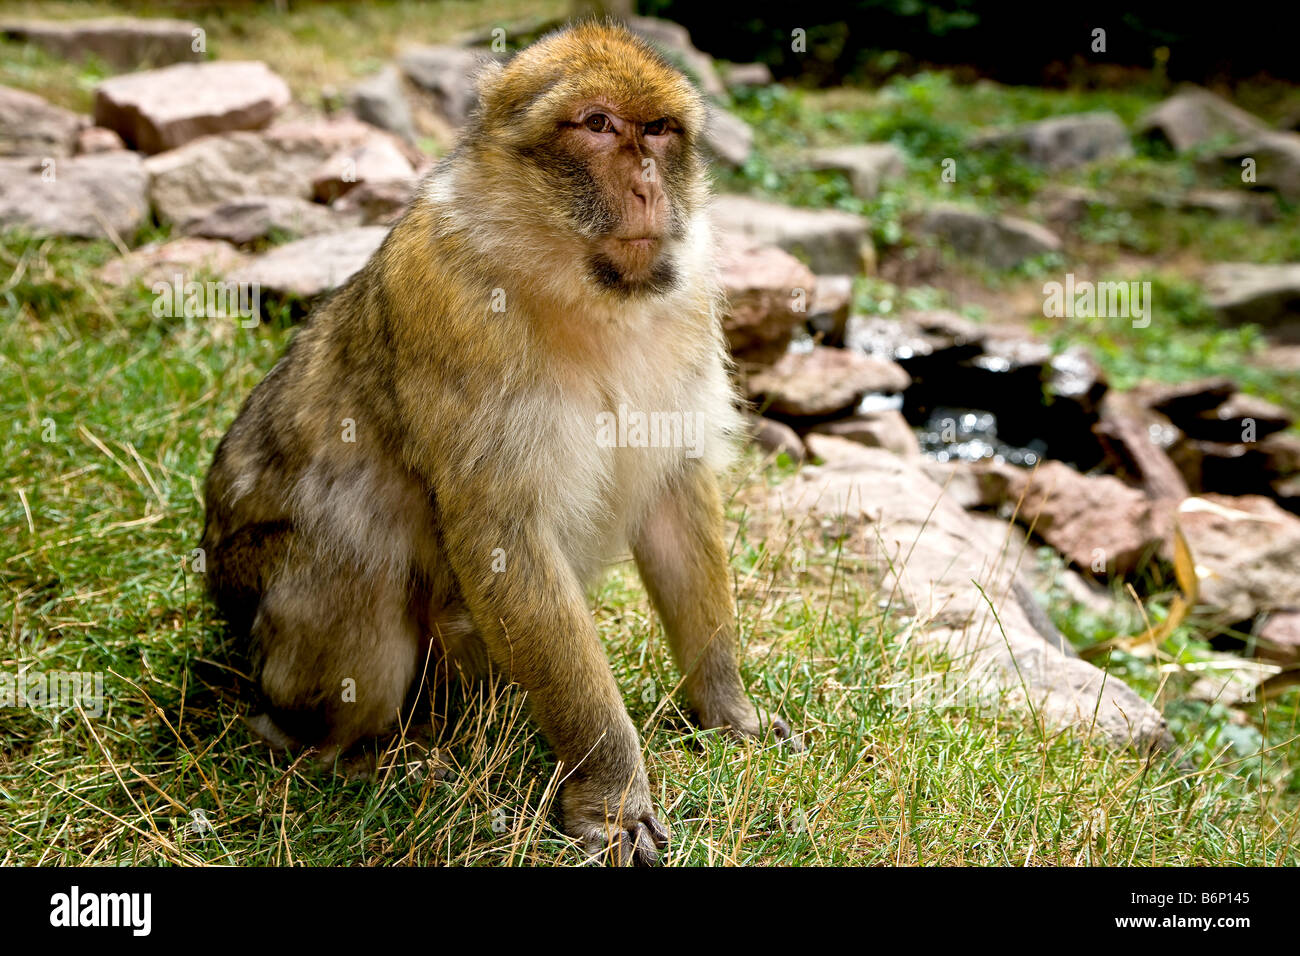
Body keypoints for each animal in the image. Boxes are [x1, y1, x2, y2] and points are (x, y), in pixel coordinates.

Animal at [200, 21, 797, 865]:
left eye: (658, 130)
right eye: (597, 125)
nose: (648, 183)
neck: (577, 286)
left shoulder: (687, 301)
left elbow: (675, 501)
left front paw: (726, 710)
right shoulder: (445, 293)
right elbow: (501, 536)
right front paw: (612, 794)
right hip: (265, 628)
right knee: (355, 547)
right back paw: (350, 754)